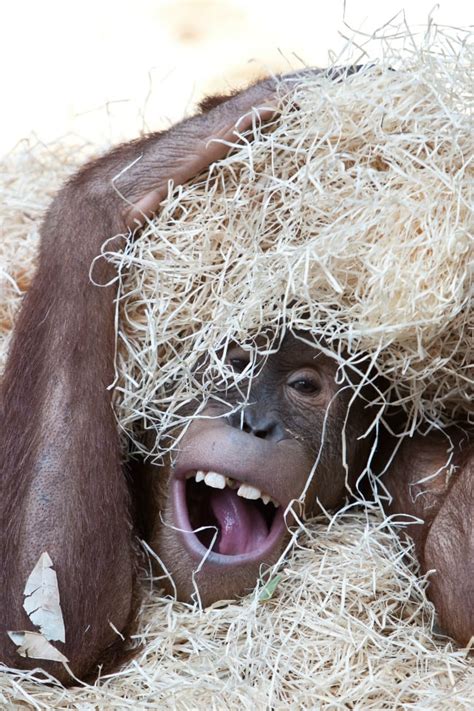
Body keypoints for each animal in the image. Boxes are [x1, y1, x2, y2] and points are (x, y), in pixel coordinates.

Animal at [0, 71, 472, 686]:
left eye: (304, 386)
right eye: (234, 359)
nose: (253, 423)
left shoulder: (419, 468)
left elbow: (461, 586)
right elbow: (45, 625)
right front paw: (141, 169)